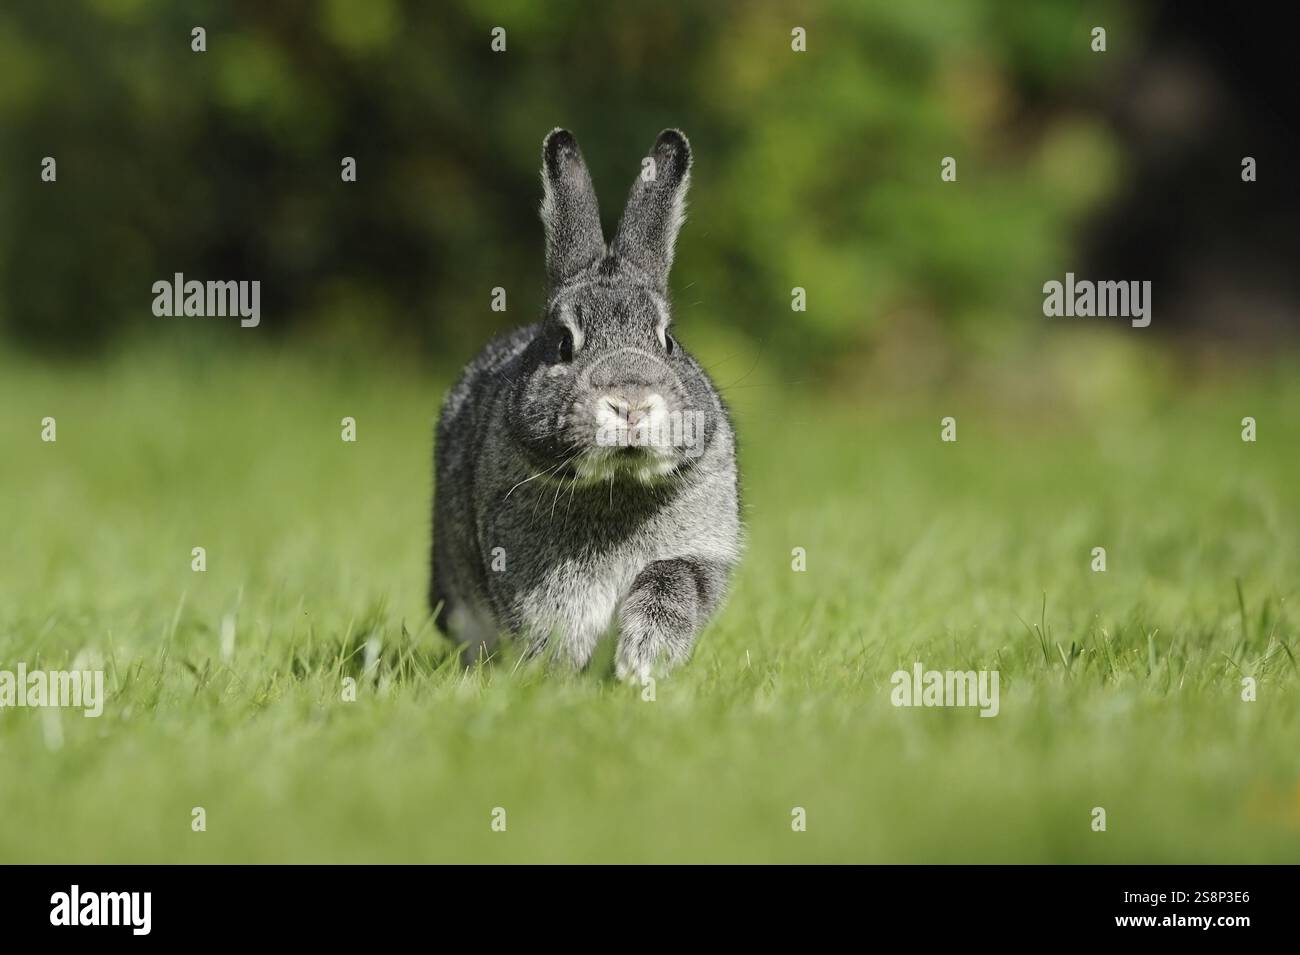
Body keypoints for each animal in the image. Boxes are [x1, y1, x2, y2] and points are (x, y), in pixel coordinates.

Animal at [429, 128, 742, 681]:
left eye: (667, 339)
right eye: (563, 343)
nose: (631, 404)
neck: (619, 481)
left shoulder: (700, 553)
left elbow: (672, 583)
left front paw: (640, 666)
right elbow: (560, 623)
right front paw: (558, 678)